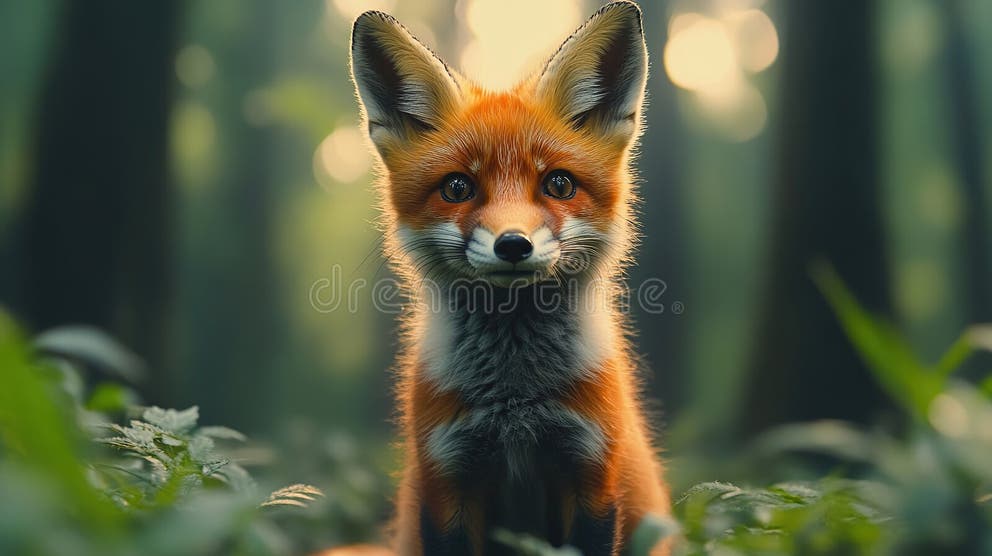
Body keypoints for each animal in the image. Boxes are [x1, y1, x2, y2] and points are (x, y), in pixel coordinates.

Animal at [328, 2, 672, 555]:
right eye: (457, 188)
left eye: (559, 184)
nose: (513, 245)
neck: (516, 404)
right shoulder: (448, 479)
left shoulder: (592, 474)